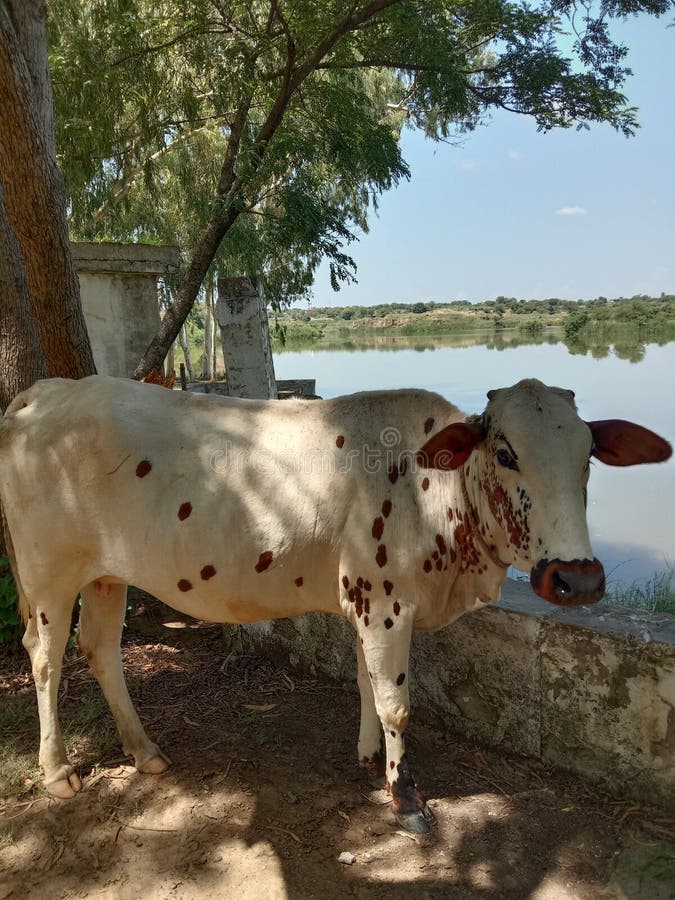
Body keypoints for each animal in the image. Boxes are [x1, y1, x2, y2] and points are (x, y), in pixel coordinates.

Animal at [0, 376, 670, 832]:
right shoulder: (387, 604)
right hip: (48, 576)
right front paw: (406, 801)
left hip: (106, 575)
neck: (432, 489)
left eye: (587, 454)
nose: (577, 579)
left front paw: (370, 759)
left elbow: (366, 684)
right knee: (46, 658)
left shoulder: (366, 605)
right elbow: (399, 703)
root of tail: (43, 393)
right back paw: (58, 772)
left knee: (101, 649)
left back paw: (144, 752)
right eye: (506, 453)